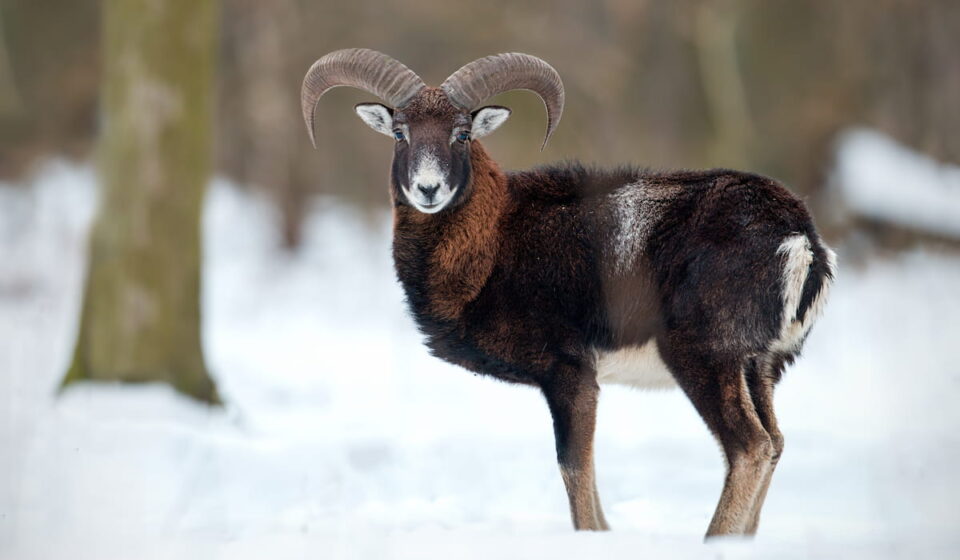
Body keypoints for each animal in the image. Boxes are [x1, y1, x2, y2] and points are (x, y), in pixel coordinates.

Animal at [301, 48, 836, 537]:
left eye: (462, 133)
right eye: (400, 132)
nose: (428, 189)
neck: (495, 242)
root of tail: (799, 239)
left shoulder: (568, 374)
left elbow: (575, 470)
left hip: (705, 360)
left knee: (749, 448)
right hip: (758, 370)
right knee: (774, 443)